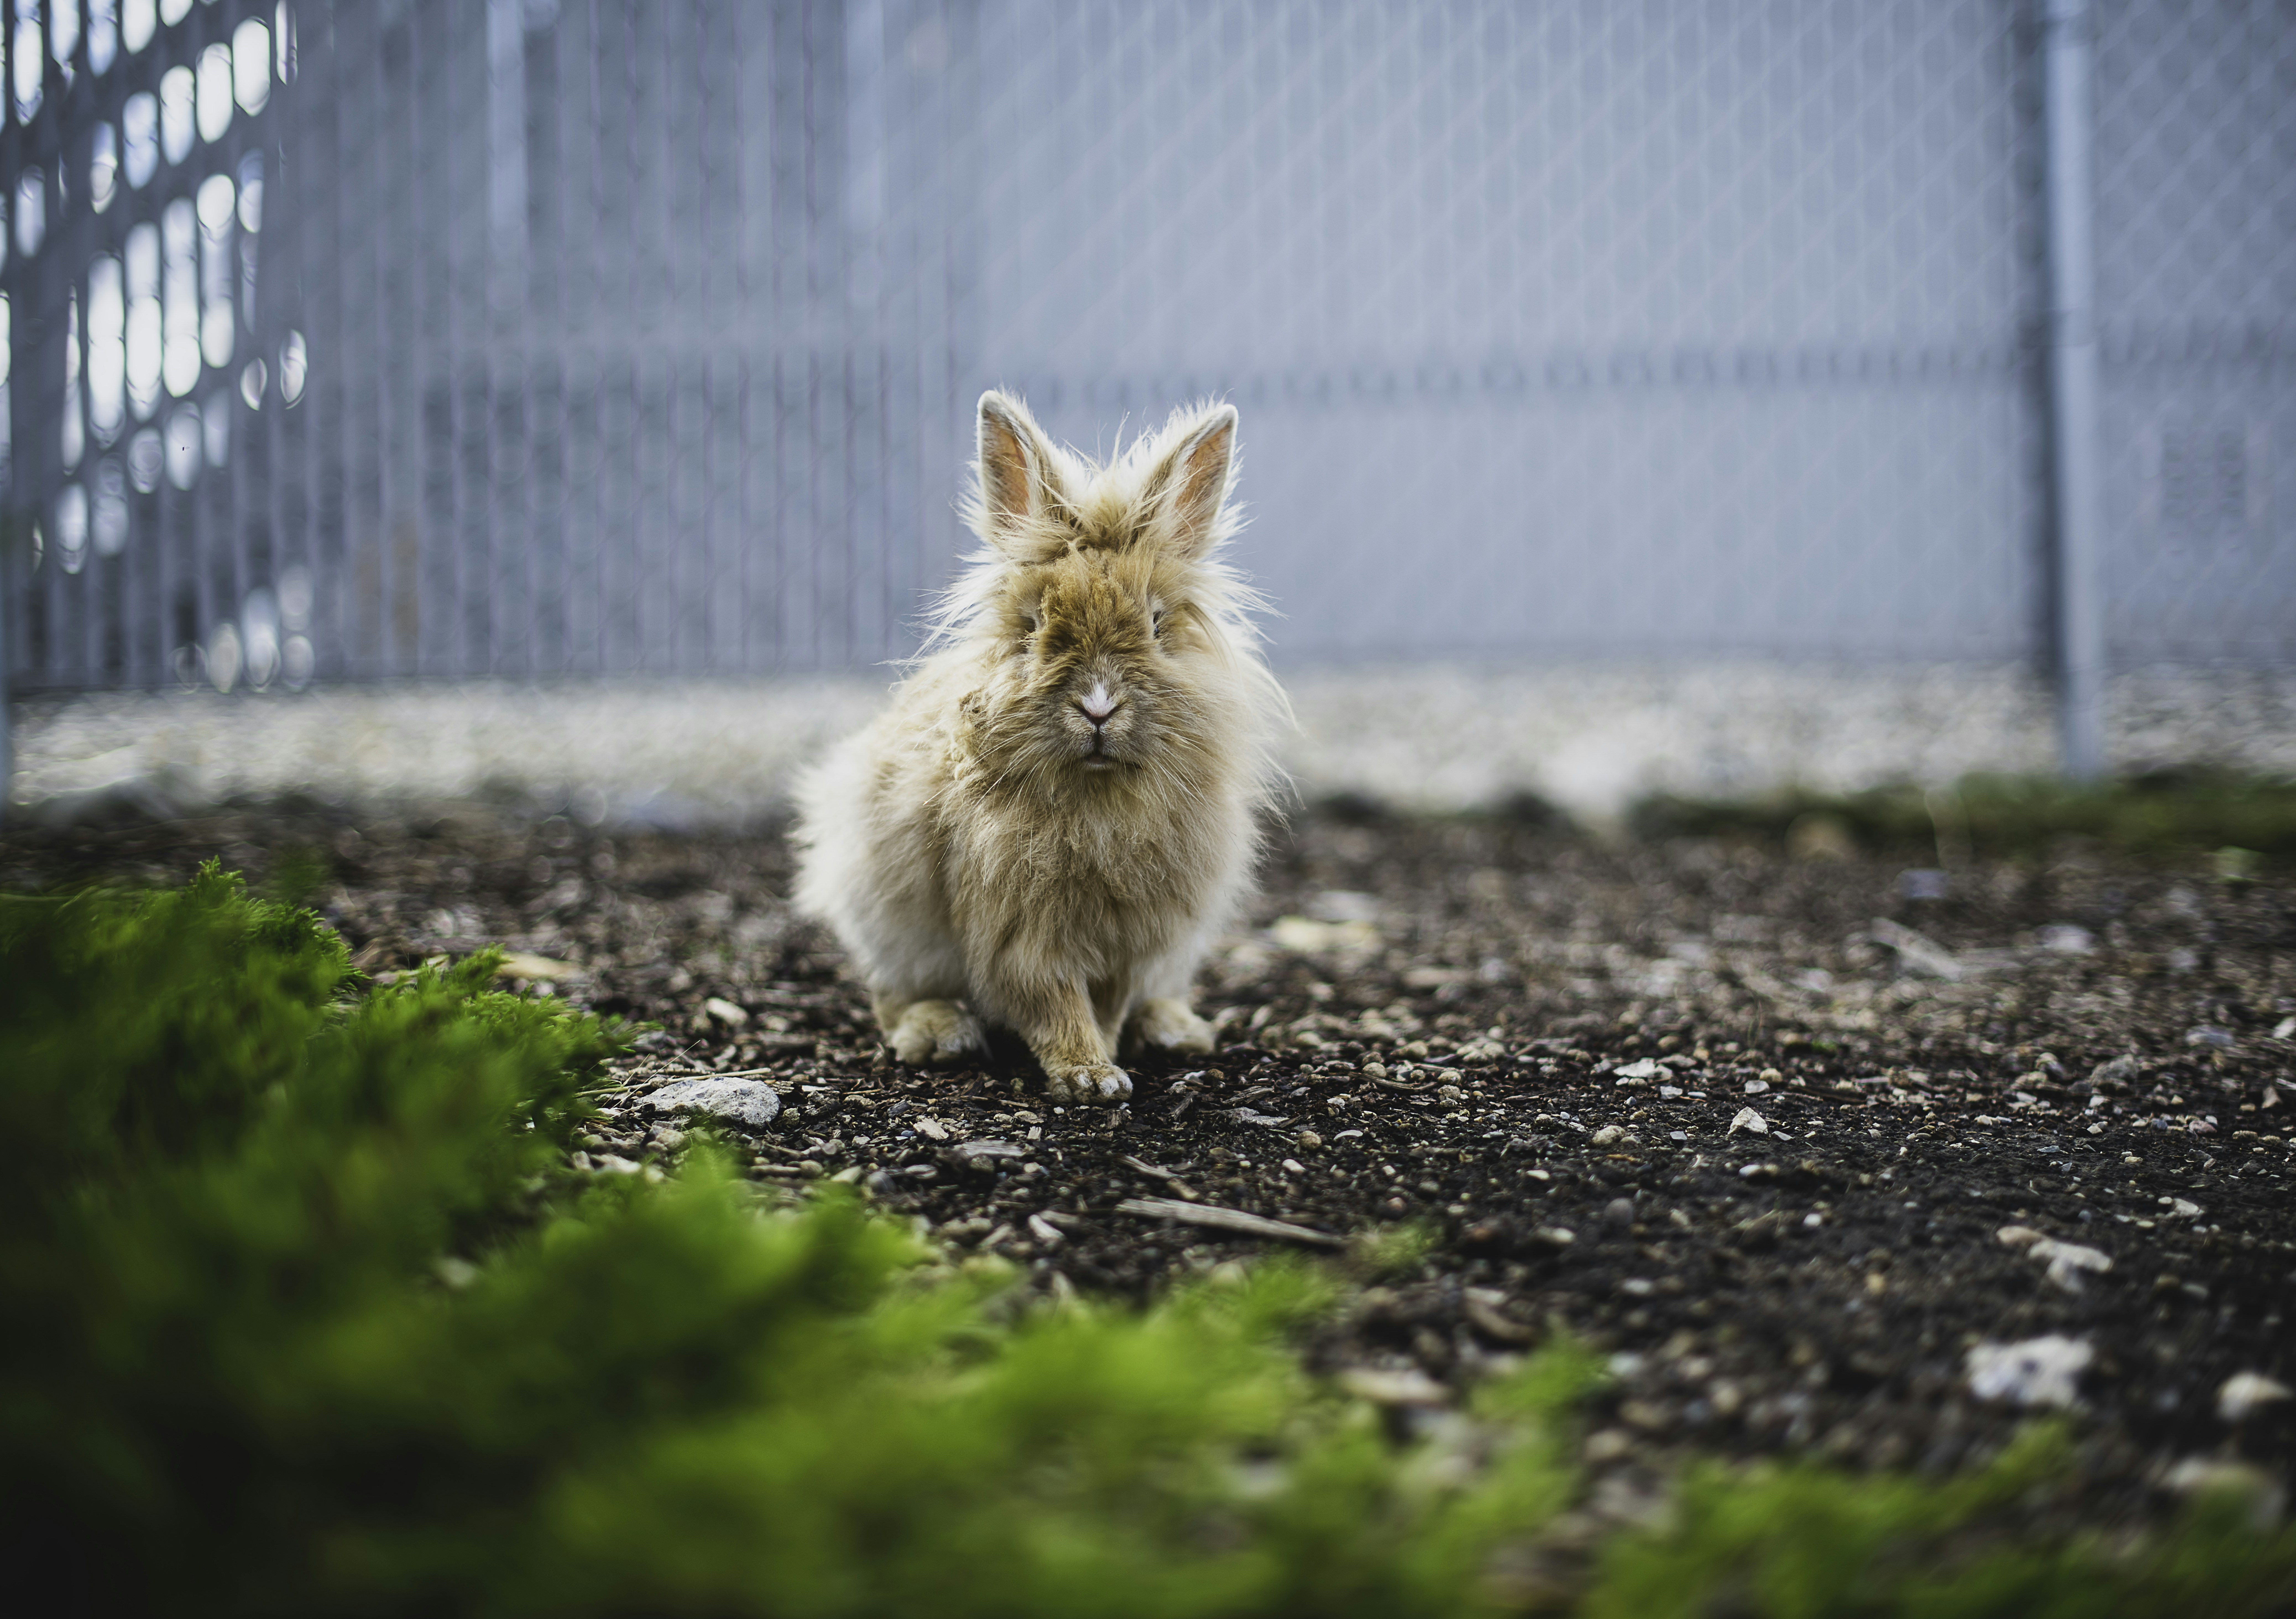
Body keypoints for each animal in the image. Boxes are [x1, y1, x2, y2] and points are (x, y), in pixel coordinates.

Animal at [792, 392, 1288, 1103]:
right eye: (1032, 628)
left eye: (1157, 626)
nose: (1099, 706)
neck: (1099, 792)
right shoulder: (1019, 934)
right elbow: (1052, 1001)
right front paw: (1090, 1075)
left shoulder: (1131, 941)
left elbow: (1105, 1003)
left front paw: (1105, 1062)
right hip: (885, 918)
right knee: (892, 998)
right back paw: (940, 1034)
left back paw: (1176, 1031)